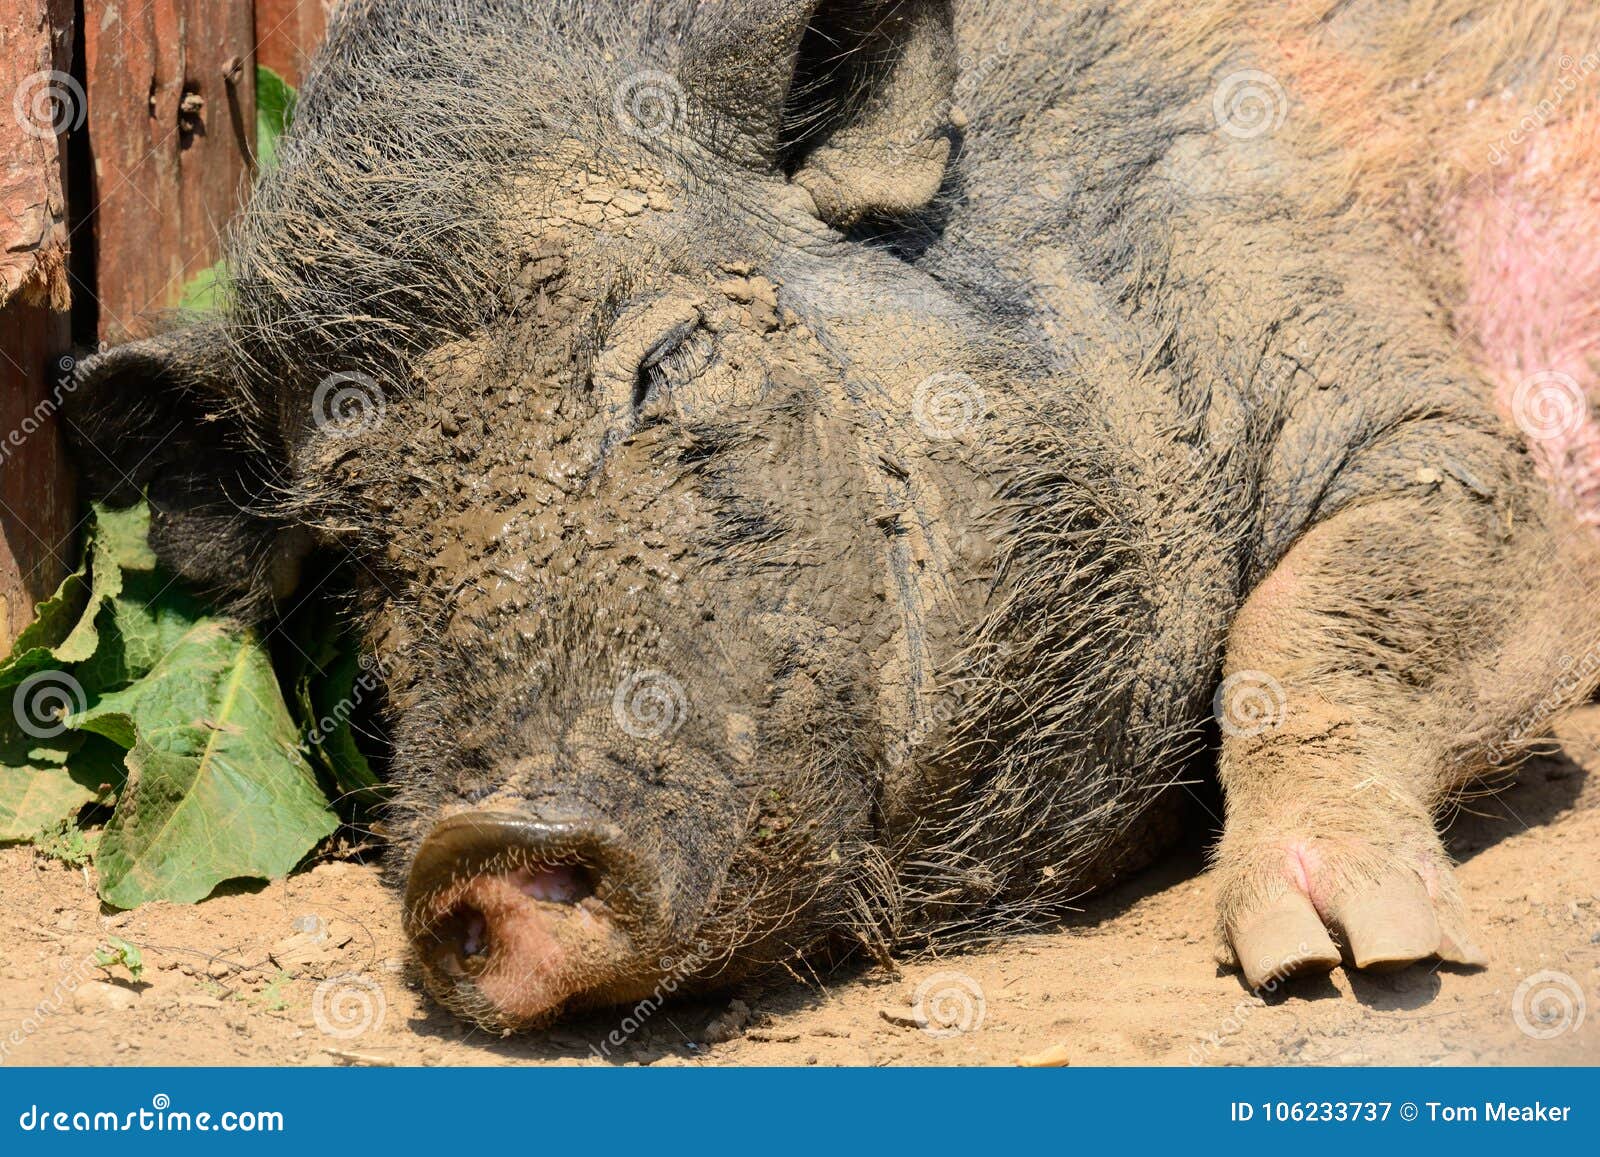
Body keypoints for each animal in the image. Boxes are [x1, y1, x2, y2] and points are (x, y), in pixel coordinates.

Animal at [69, 0, 1600, 1031]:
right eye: (355, 550)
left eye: (670, 356)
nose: (478, 848)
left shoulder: (1413, 402)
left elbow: (1323, 613)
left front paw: (1346, 960)